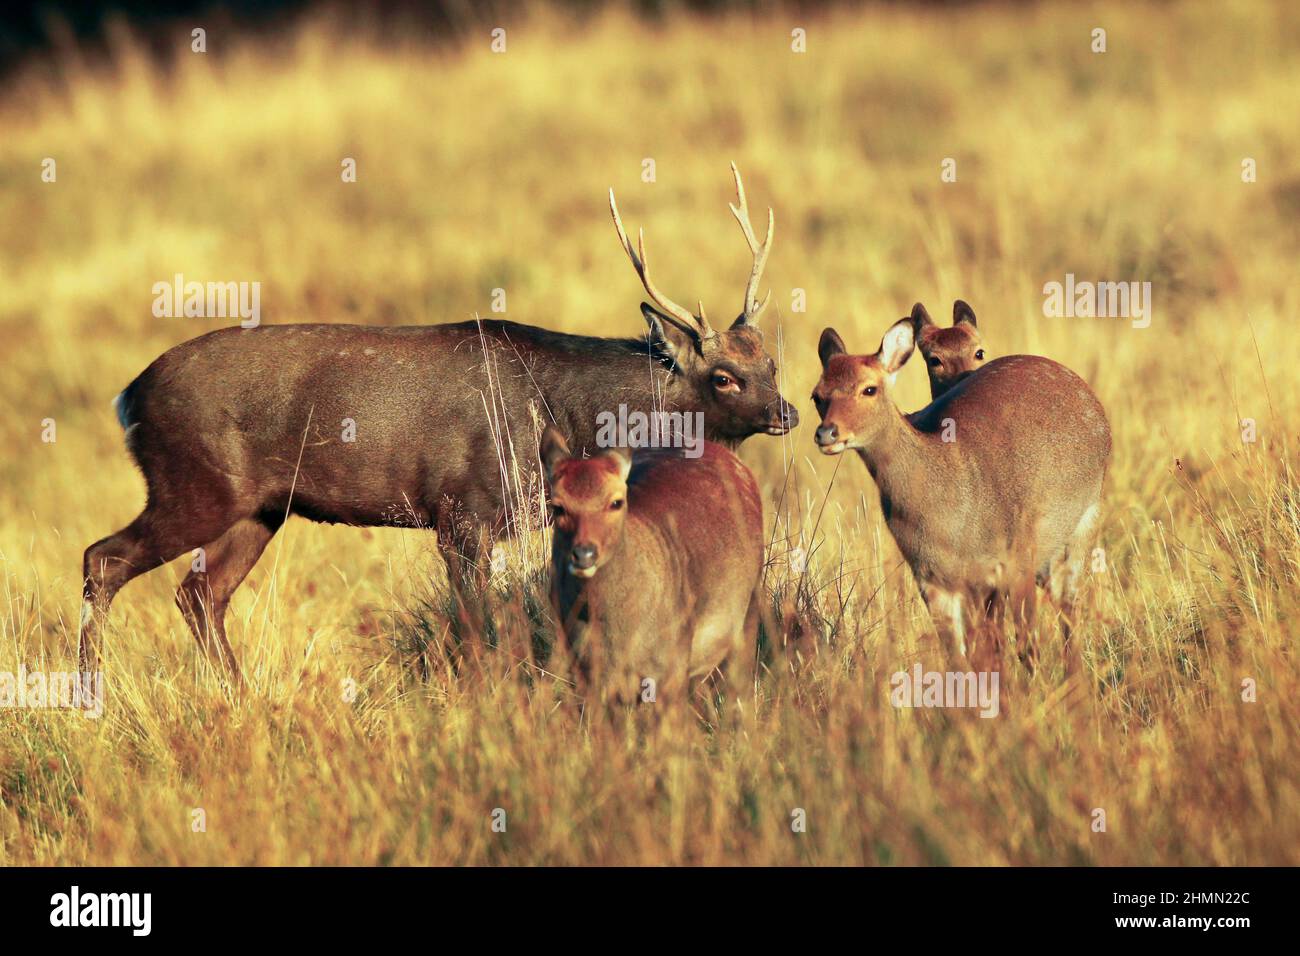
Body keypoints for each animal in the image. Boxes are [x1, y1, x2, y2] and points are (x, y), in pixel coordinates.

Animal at [540, 425, 764, 703]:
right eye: (558, 507)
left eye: (616, 501)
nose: (584, 554)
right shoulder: (582, 669)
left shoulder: (672, 665)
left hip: (750, 608)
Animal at [811, 307, 1110, 666]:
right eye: (817, 395)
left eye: (869, 389)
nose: (827, 433)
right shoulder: (934, 582)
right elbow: (963, 660)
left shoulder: (1015, 564)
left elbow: (1026, 649)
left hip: (1082, 526)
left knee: (1068, 612)